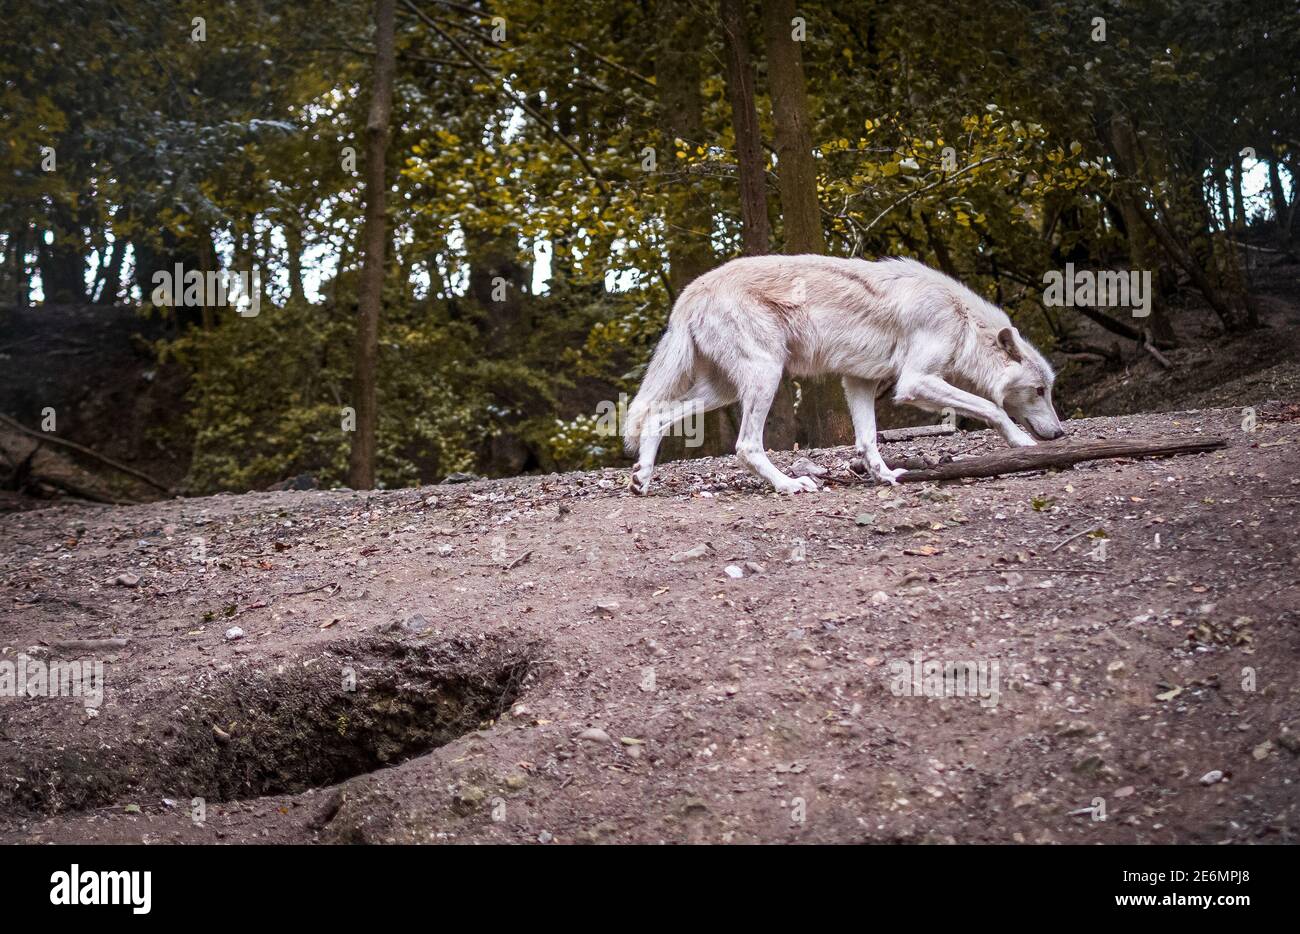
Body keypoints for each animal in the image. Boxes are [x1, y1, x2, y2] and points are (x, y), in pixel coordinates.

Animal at [624, 255, 1064, 494]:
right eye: (1040, 391)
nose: (1060, 434)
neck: (963, 320)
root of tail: (691, 291)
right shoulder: (915, 382)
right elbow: (992, 407)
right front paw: (1022, 444)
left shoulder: (859, 382)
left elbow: (867, 440)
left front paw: (885, 476)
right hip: (765, 378)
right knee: (746, 446)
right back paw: (789, 485)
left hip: (725, 391)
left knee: (656, 415)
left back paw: (641, 479)